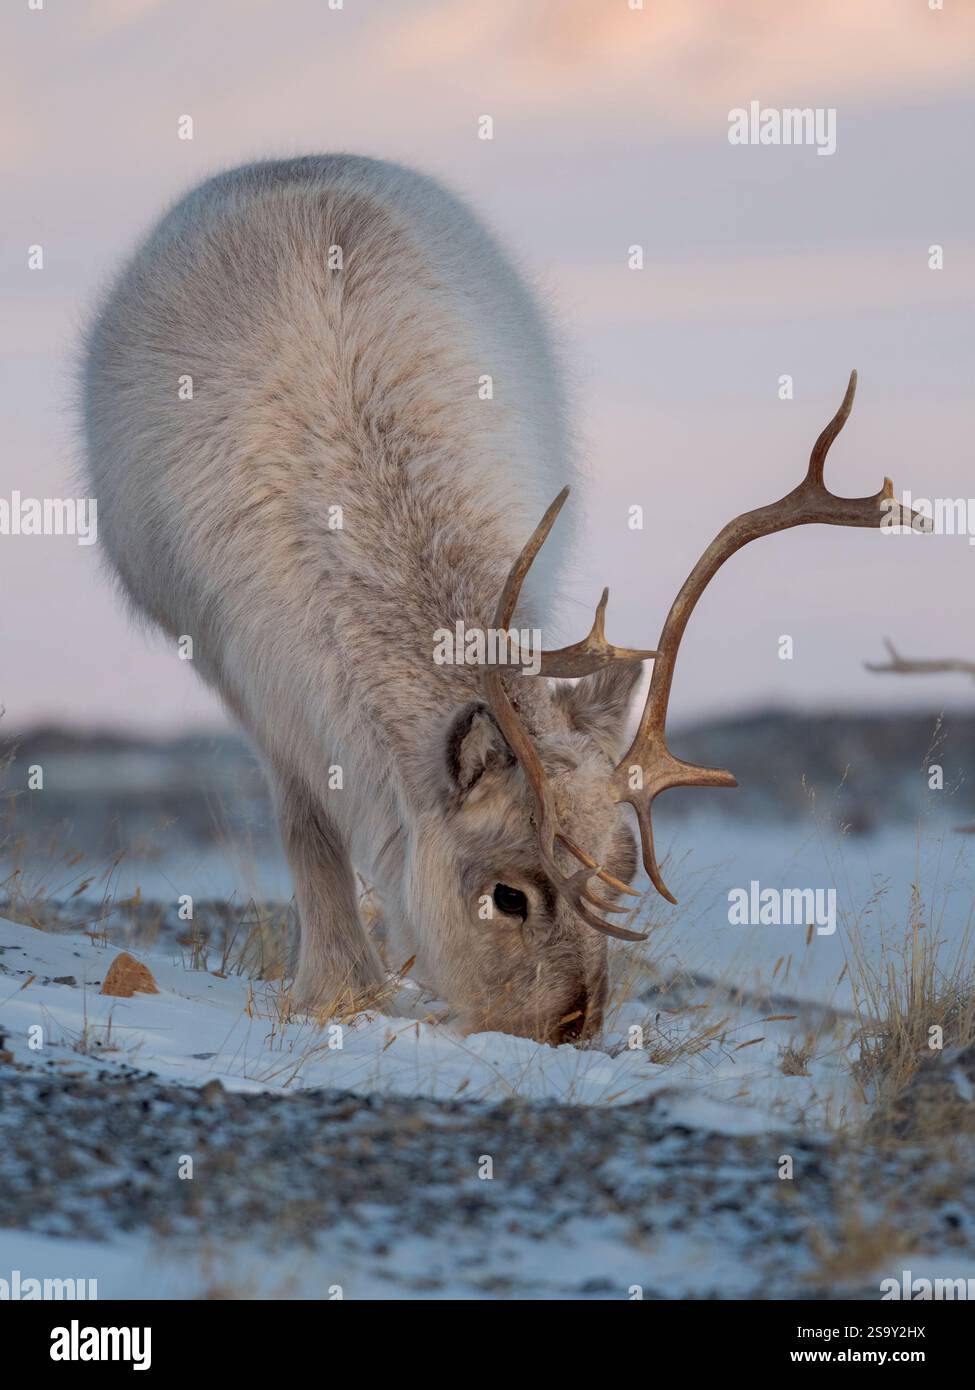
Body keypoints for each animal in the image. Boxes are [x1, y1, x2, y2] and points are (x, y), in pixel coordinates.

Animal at [82, 155, 920, 1045]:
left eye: (620, 872)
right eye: (507, 896)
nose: (571, 1030)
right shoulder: (260, 686)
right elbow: (309, 829)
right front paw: (339, 993)